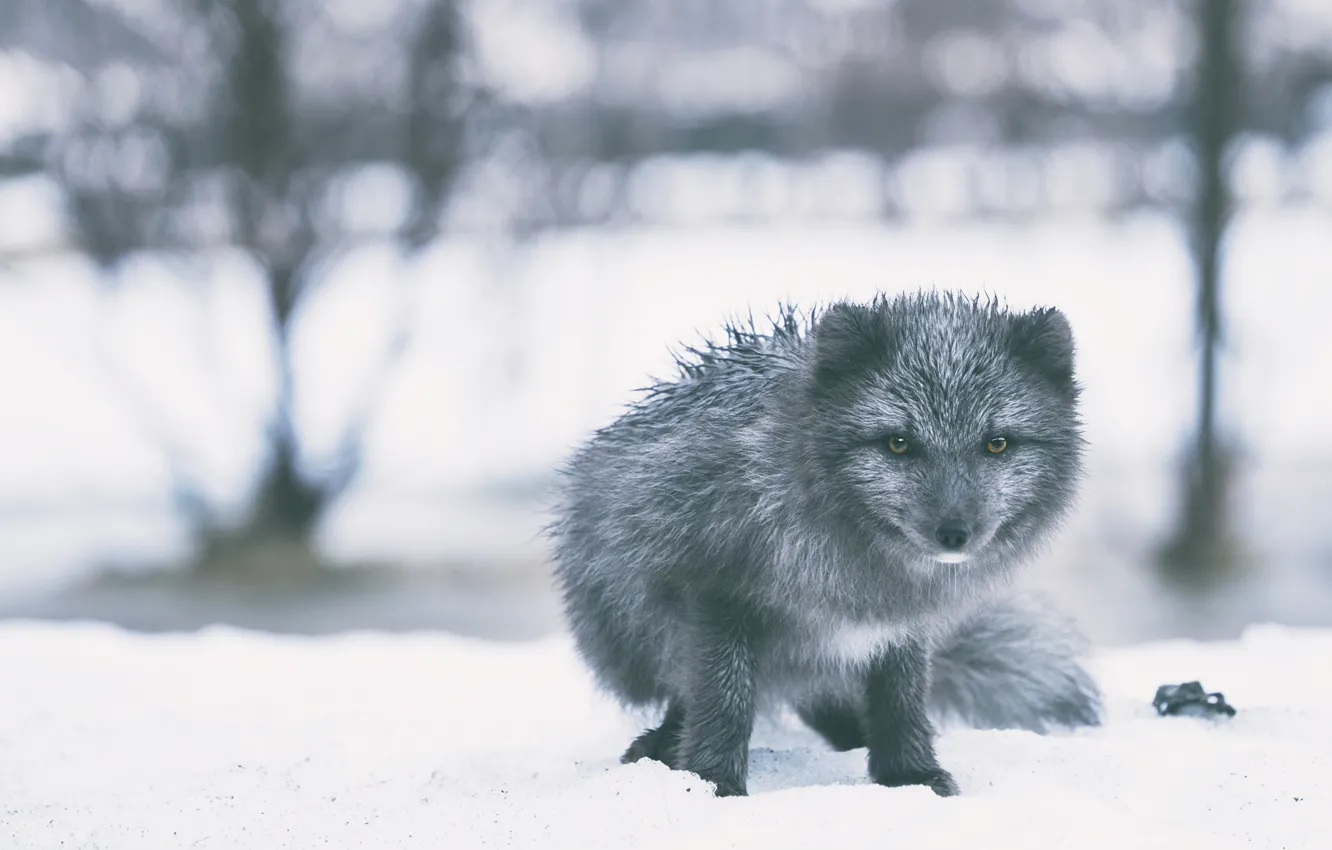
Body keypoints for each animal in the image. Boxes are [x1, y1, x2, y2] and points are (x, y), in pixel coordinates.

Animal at [549, 291, 1100, 798]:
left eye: (997, 444)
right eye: (898, 443)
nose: (953, 533)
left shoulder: (900, 624)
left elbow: (901, 700)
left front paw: (910, 778)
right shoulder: (712, 588)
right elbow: (724, 699)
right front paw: (711, 784)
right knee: (687, 694)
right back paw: (661, 747)